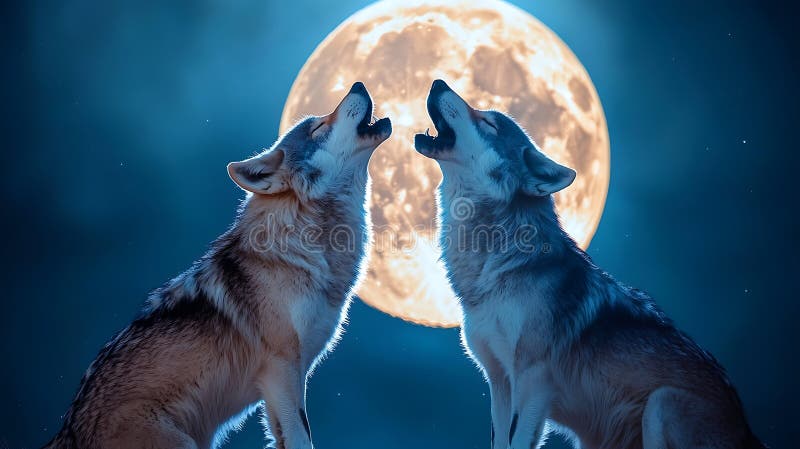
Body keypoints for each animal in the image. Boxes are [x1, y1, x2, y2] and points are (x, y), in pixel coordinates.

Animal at [43, 82, 391, 449]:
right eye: (318, 127)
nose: (358, 84)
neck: (302, 248)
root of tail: (68, 431)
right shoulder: (282, 368)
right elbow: (301, 437)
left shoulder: (283, 381)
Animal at [414, 79, 765, 449]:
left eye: (489, 123)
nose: (438, 82)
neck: (500, 263)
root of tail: (747, 428)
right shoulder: (499, 382)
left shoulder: (532, 382)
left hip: (660, 403)